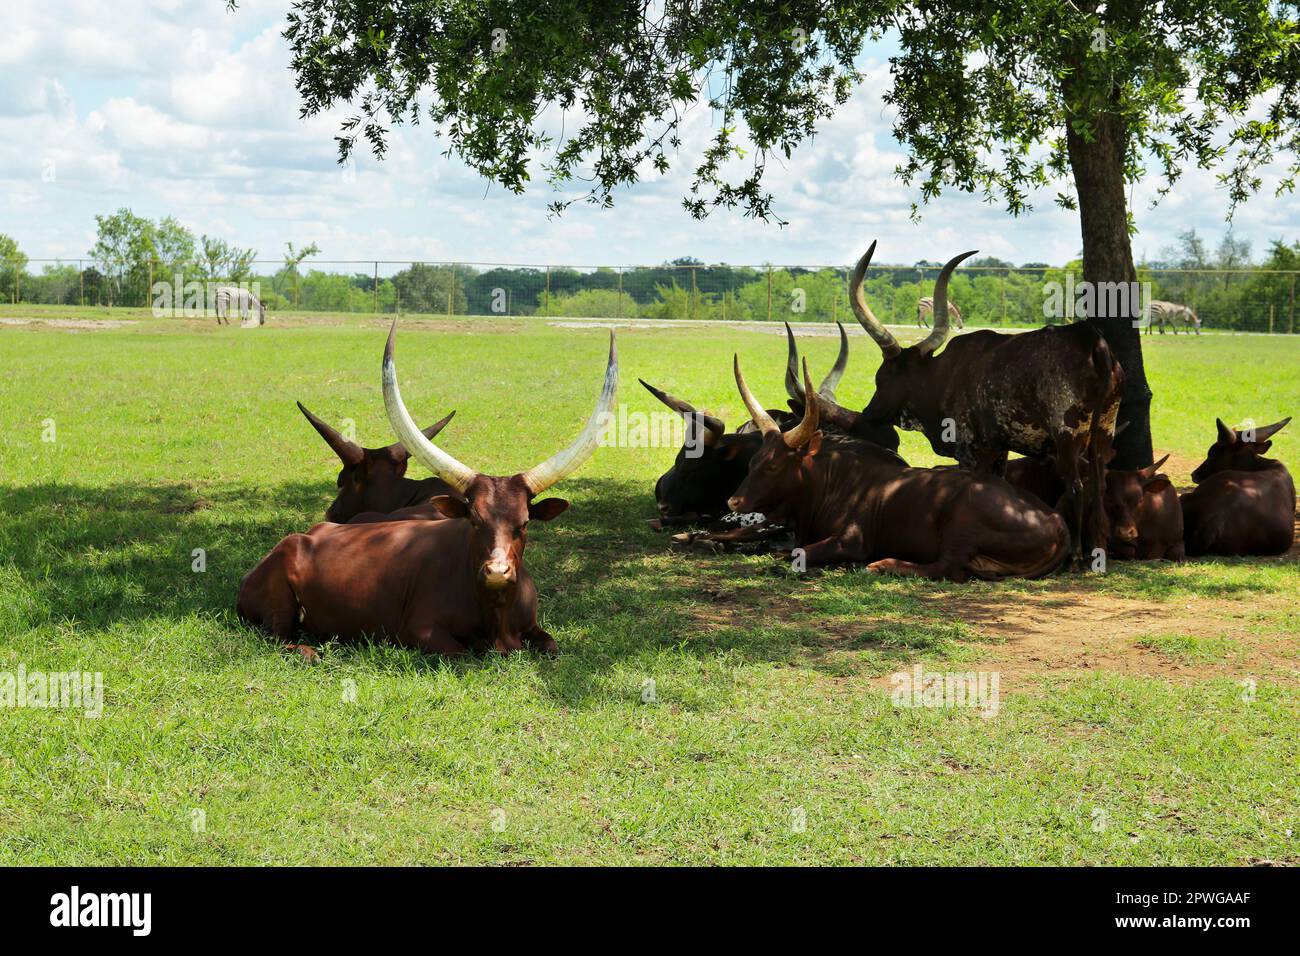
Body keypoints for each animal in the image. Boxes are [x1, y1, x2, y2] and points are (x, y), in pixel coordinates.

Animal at [726, 355, 1071, 581]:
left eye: (774, 465)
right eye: (754, 461)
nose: (734, 501)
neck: (831, 482)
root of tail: (1055, 520)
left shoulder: (851, 541)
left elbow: (797, 554)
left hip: (961, 527)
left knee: (947, 569)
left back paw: (885, 565)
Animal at [848, 240, 1123, 560]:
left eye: (881, 378)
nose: (867, 413)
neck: (944, 377)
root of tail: (1094, 342)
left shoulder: (969, 450)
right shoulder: (998, 448)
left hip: (1068, 435)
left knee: (1077, 486)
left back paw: (1077, 554)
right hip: (1104, 429)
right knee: (1099, 483)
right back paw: (1099, 547)